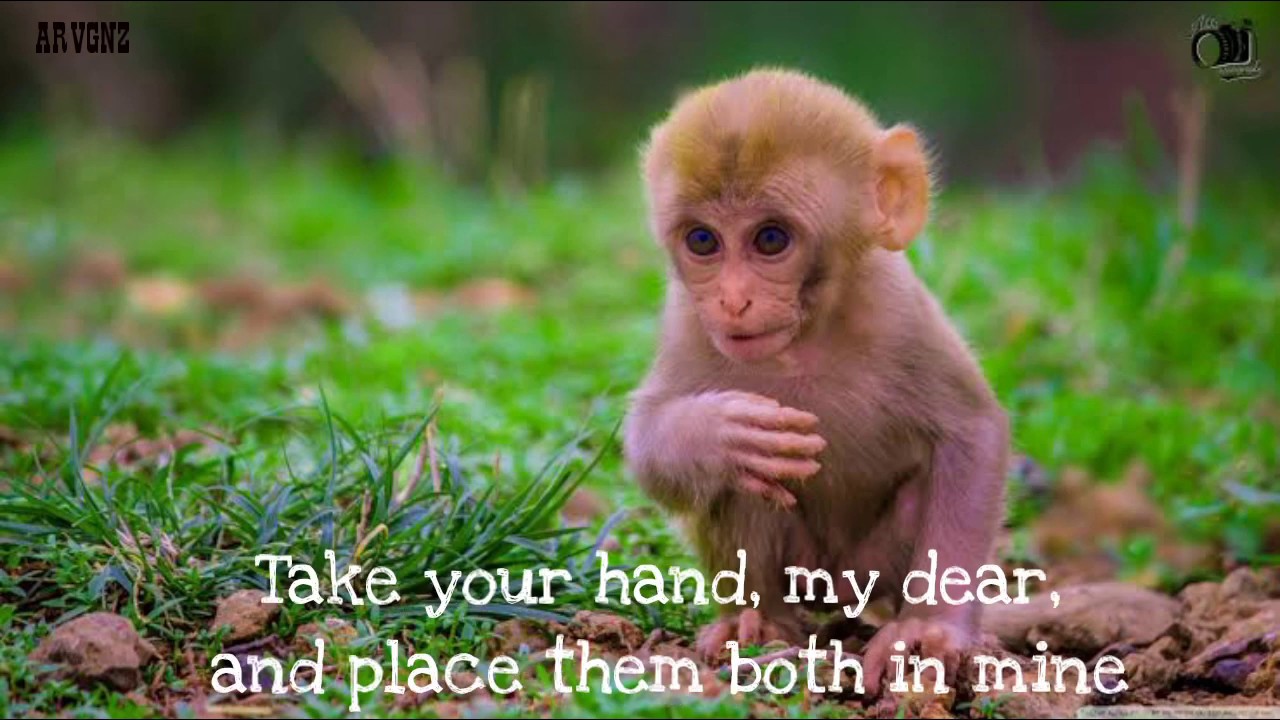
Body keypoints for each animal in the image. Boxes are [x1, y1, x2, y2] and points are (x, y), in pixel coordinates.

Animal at [621, 68, 1010, 696]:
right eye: (702, 241)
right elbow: (650, 446)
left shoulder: (897, 307)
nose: (732, 300)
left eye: (771, 239)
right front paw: (719, 434)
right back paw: (760, 622)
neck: (804, 337)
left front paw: (931, 628)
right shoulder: (688, 320)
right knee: (744, 484)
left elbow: (972, 432)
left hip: (867, 567)